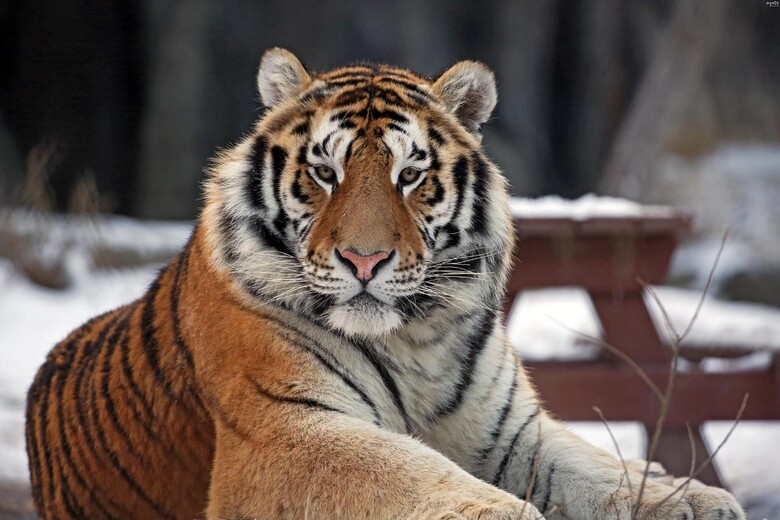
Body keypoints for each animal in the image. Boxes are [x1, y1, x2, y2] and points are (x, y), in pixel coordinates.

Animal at [25, 47, 745, 520]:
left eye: (410, 176)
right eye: (324, 173)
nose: (364, 260)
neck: (416, 339)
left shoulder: (509, 431)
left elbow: (601, 468)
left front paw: (694, 501)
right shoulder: (287, 430)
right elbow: (409, 474)